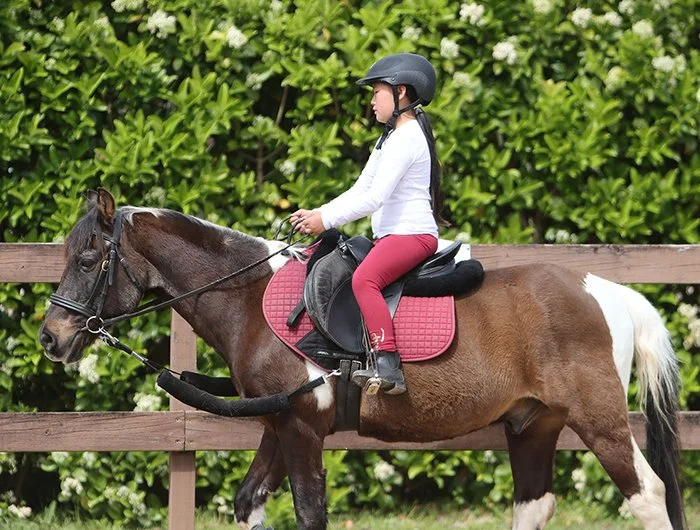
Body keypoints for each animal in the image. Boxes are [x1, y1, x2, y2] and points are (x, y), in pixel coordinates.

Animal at [39, 188, 686, 530]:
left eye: (90, 259)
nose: (51, 337)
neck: (252, 298)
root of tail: (607, 290)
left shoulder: (302, 429)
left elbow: (310, 513)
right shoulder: (279, 425)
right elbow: (249, 503)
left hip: (599, 421)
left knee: (646, 495)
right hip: (533, 424)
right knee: (534, 504)